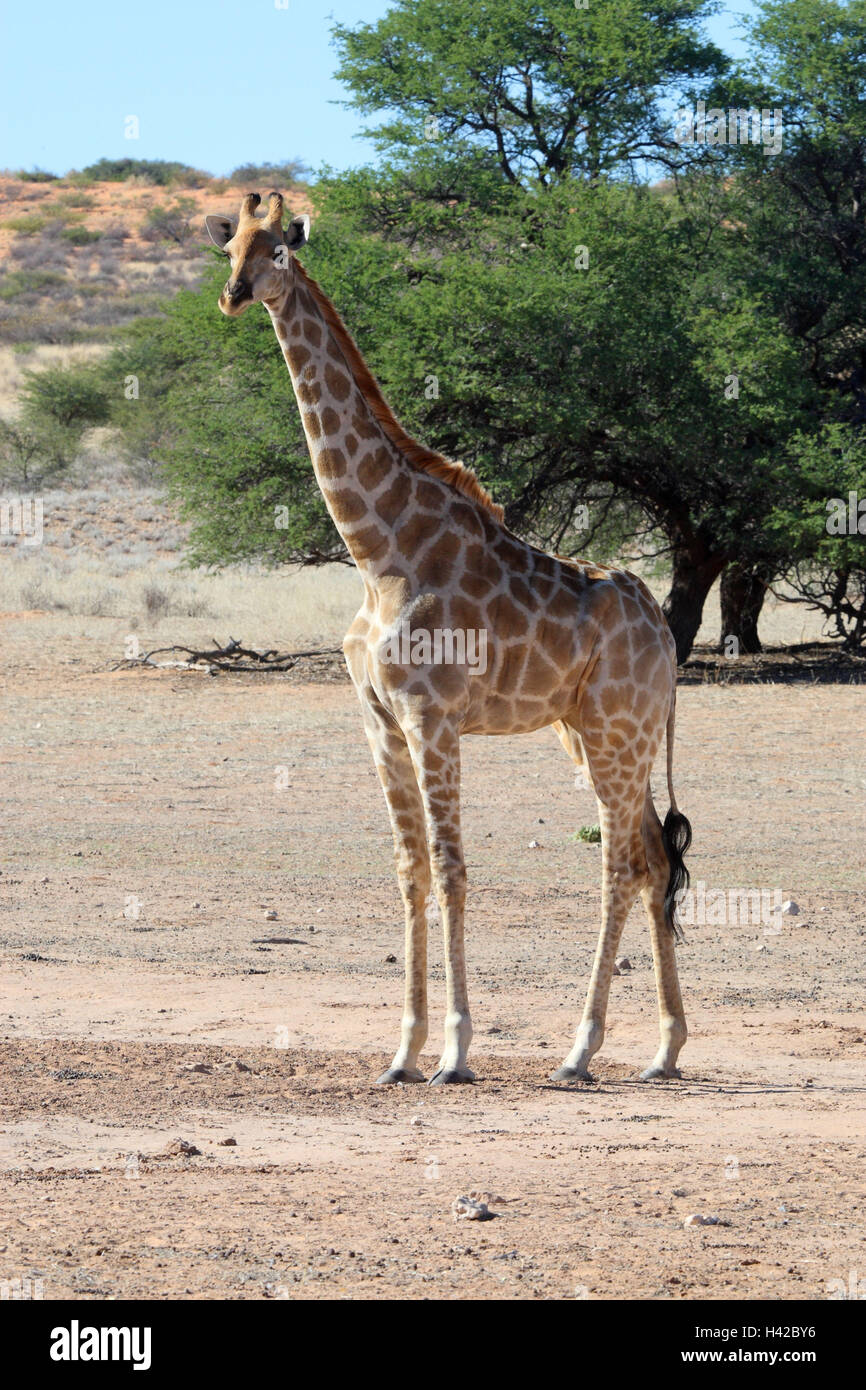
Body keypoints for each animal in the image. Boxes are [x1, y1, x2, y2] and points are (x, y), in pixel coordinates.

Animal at [205, 192, 693, 1086]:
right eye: (228, 246)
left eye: (279, 249)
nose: (233, 294)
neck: (376, 548)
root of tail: (663, 631)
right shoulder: (378, 721)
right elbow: (411, 870)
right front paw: (402, 1050)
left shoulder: (432, 718)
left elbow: (454, 868)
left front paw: (457, 1050)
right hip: (600, 734)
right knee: (652, 856)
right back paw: (665, 1049)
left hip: (615, 733)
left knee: (619, 862)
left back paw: (579, 1051)